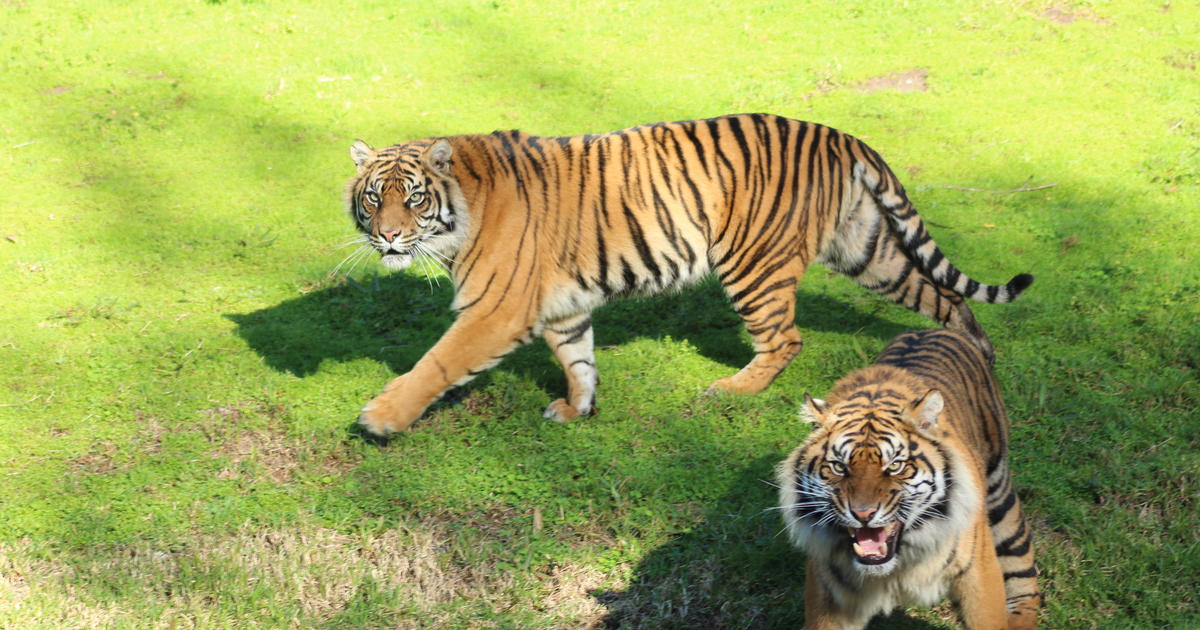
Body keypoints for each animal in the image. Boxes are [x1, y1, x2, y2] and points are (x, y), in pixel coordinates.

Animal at [344, 113, 1033, 435]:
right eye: (374, 199)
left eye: (413, 198)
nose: (388, 237)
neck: (463, 209)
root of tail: (839, 136)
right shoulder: (563, 308)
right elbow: (577, 358)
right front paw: (578, 408)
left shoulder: (494, 310)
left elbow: (436, 364)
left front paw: (380, 418)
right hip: (867, 251)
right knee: (943, 295)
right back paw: (977, 354)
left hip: (752, 263)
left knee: (786, 338)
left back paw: (732, 389)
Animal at [776, 328, 1040, 630]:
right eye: (839, 467)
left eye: (895, 465)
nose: (863, 514)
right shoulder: (828, 590)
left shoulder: (977, 571)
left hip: (998, 488)